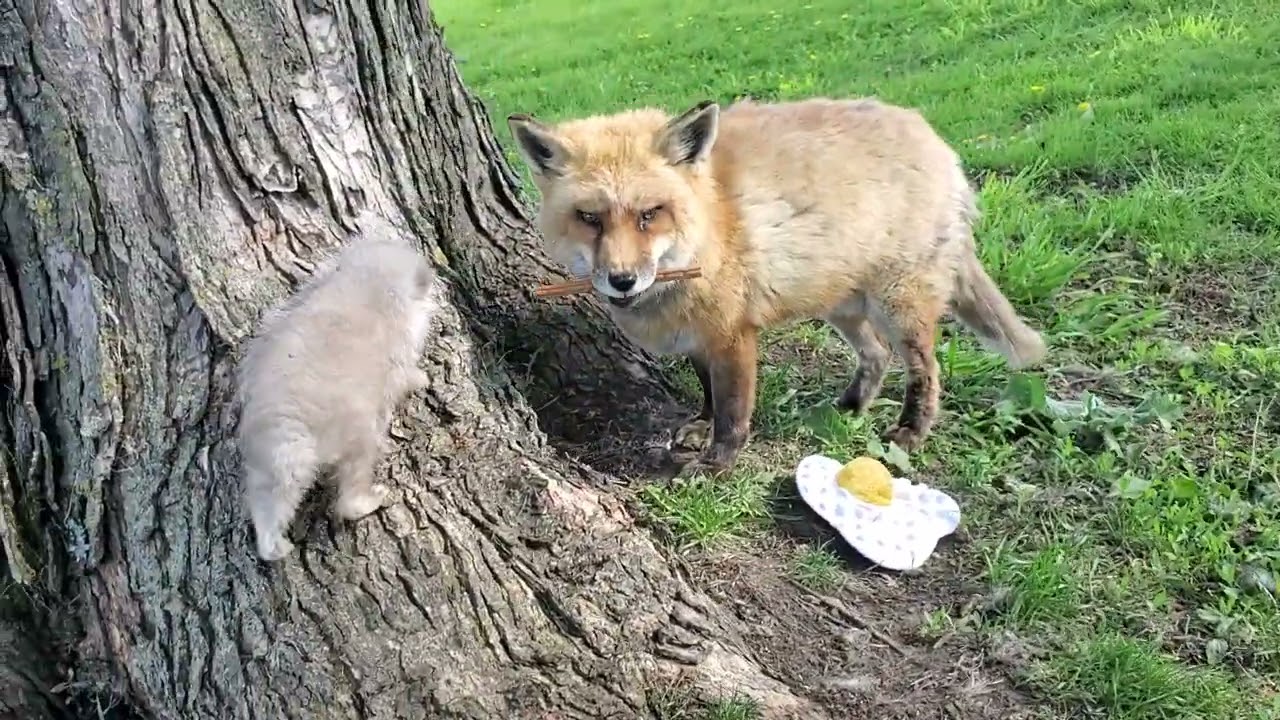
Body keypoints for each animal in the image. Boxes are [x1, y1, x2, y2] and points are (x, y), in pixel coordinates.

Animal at [235, 211, 439, 561]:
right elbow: (407, 375)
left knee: (267, 508)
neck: (367, 280)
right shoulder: (400, 353)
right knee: (348, 498)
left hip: (275, 469)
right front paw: (422, 378)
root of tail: (291, 425)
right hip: (362, 436)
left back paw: (274, 547)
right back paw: (369, 500)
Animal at [506, 96, 1047, 475]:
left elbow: (733, 410)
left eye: (649, 214)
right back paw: (848, 408)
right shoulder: (699, 337)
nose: (622, 280)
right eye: (589, 219)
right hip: (840, 303)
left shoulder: (733, 334)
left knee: (925, 370)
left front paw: (717, 464)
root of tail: (931, 135)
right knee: (876, 355)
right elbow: (707, 393)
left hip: (899, 304)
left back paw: (911, 431)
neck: (710, 225)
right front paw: (699, 428)